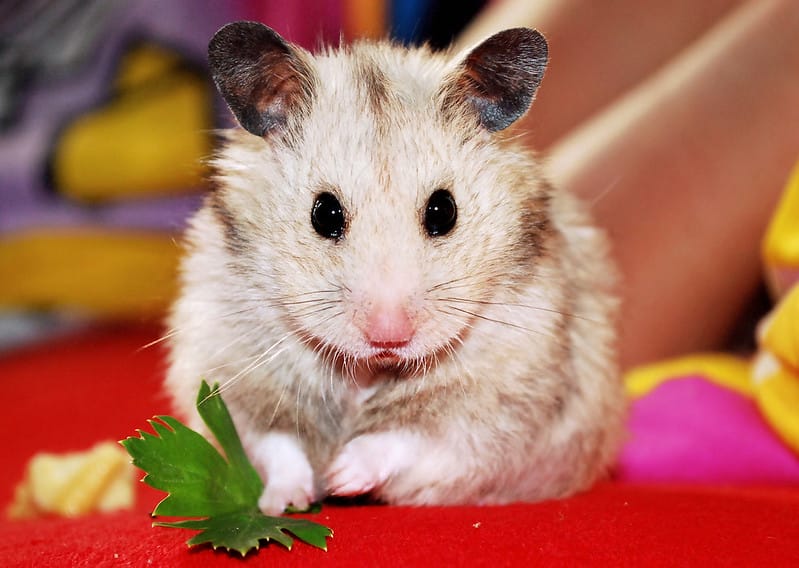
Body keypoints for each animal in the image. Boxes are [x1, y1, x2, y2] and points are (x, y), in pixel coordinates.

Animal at [165, 21, 625, 515]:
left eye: (444, 211)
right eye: (324, 213)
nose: (389, 336)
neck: (370, 369)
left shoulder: (501, 401)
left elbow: (406, 438)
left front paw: (342, 474)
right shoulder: (236, 378)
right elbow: (278, 446)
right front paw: (284, 504)